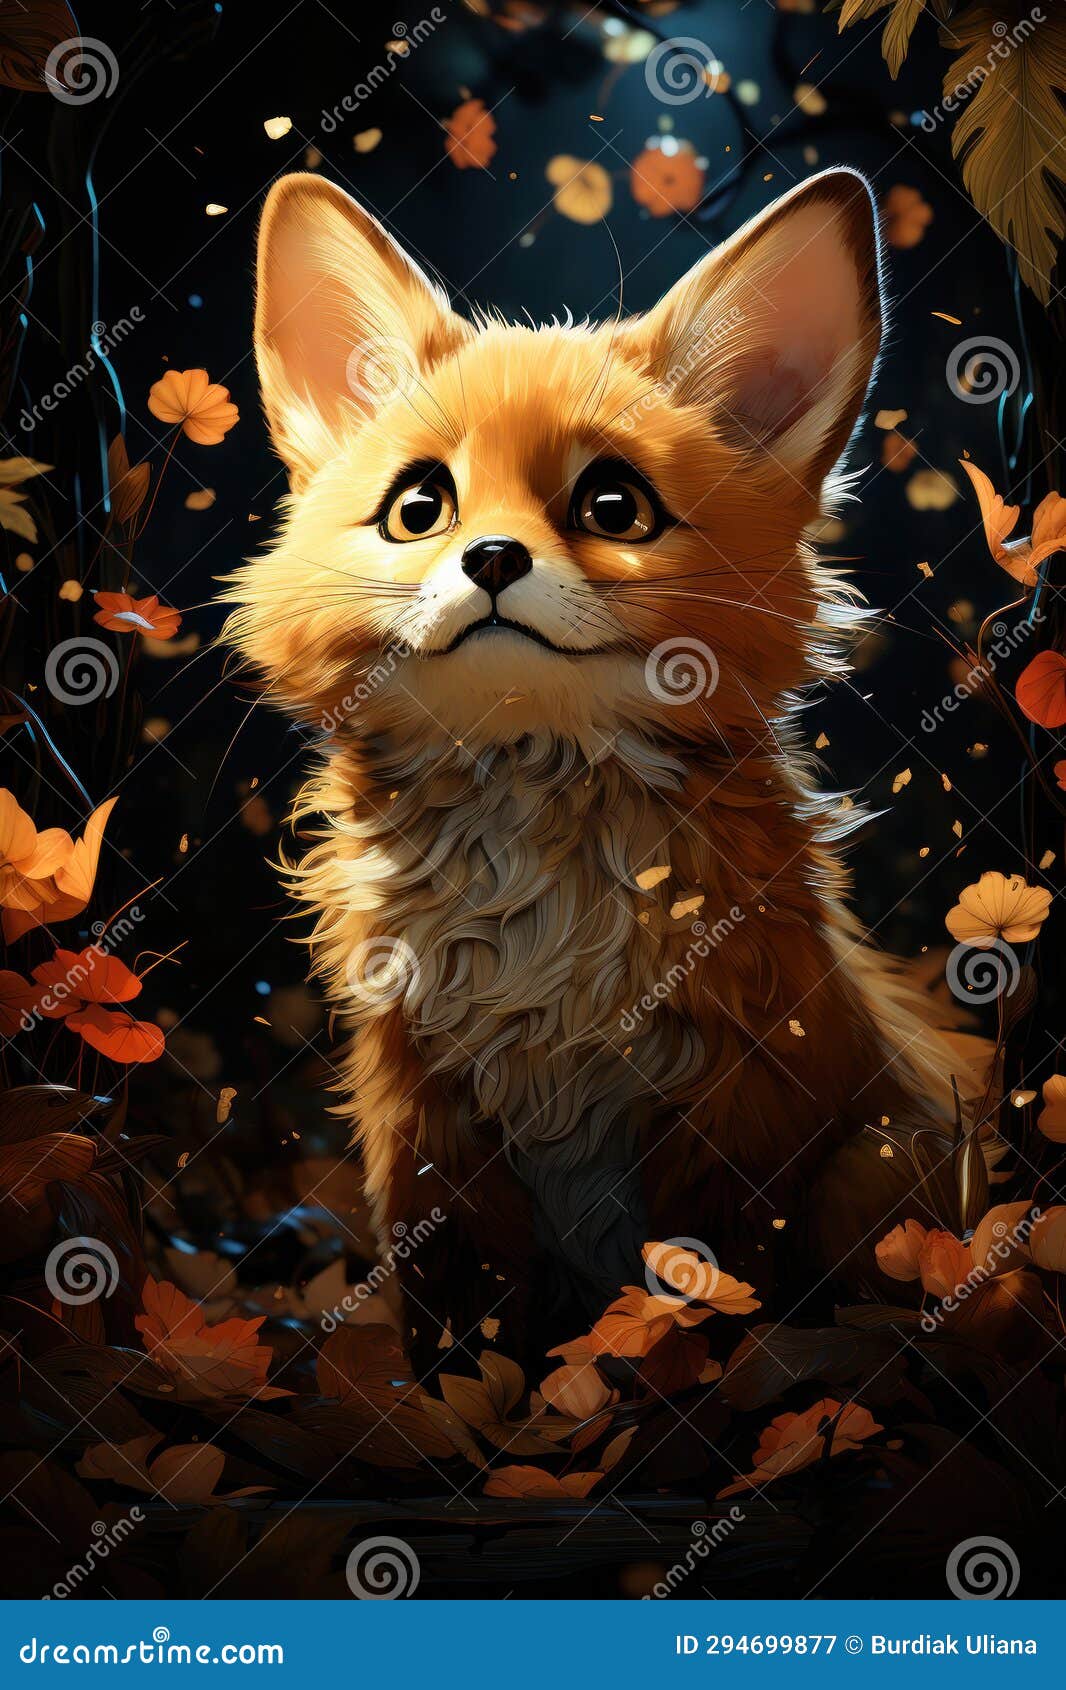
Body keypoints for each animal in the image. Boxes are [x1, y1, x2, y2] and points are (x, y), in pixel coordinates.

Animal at [226, 168, 982, 1365]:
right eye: (420, 508)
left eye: (612, 506)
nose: (491, 557)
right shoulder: (426, 1120)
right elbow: (465, 1318)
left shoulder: (738, 1106)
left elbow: (704, 1295)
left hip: (878, 1165)